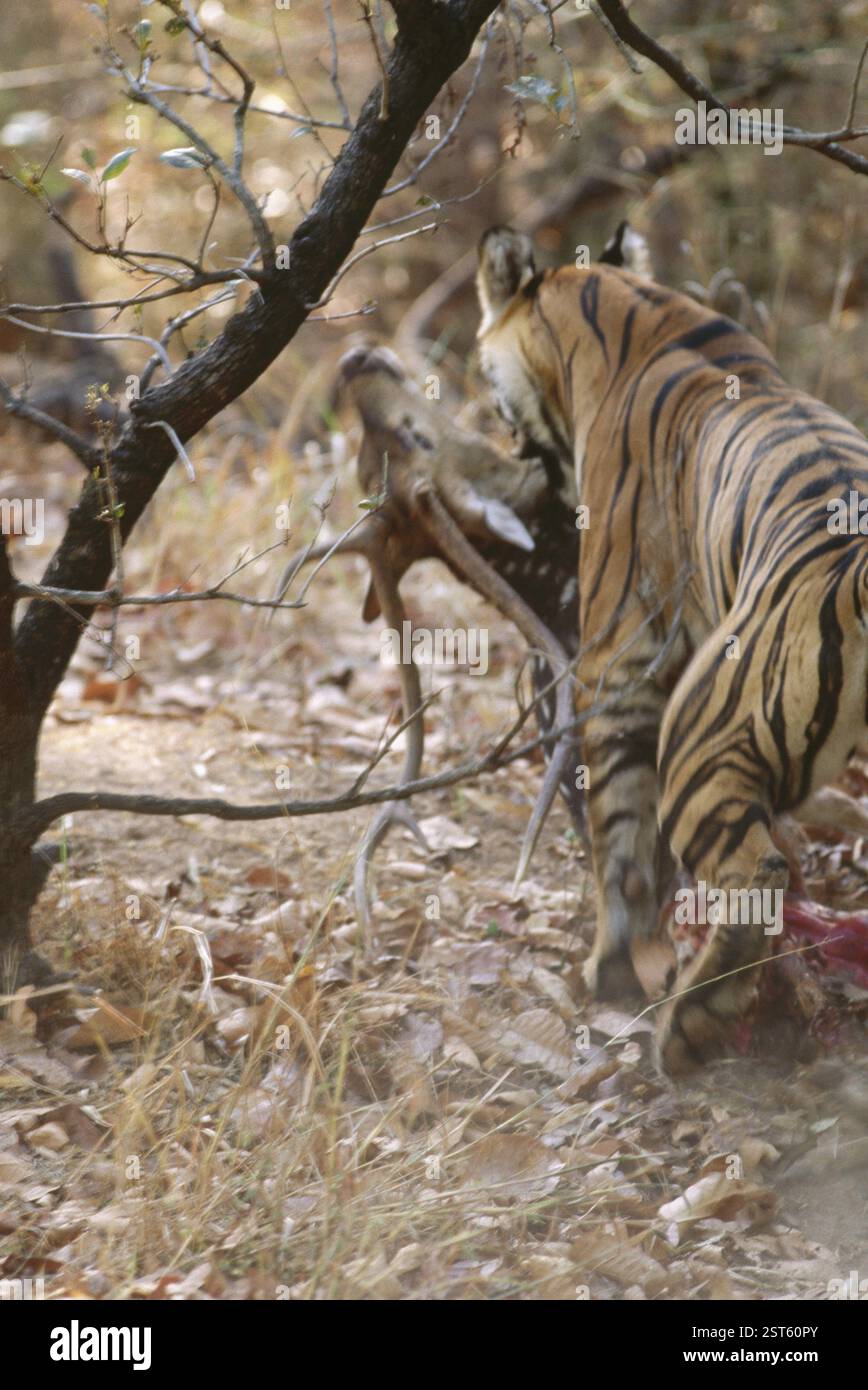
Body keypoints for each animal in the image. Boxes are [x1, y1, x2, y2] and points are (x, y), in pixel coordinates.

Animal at [475, 224, 868, 1073]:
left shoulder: (618, 662)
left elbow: (623, 843)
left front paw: (613, 970)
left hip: (701, 729)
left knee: (755, 872)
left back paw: (694, 1024)